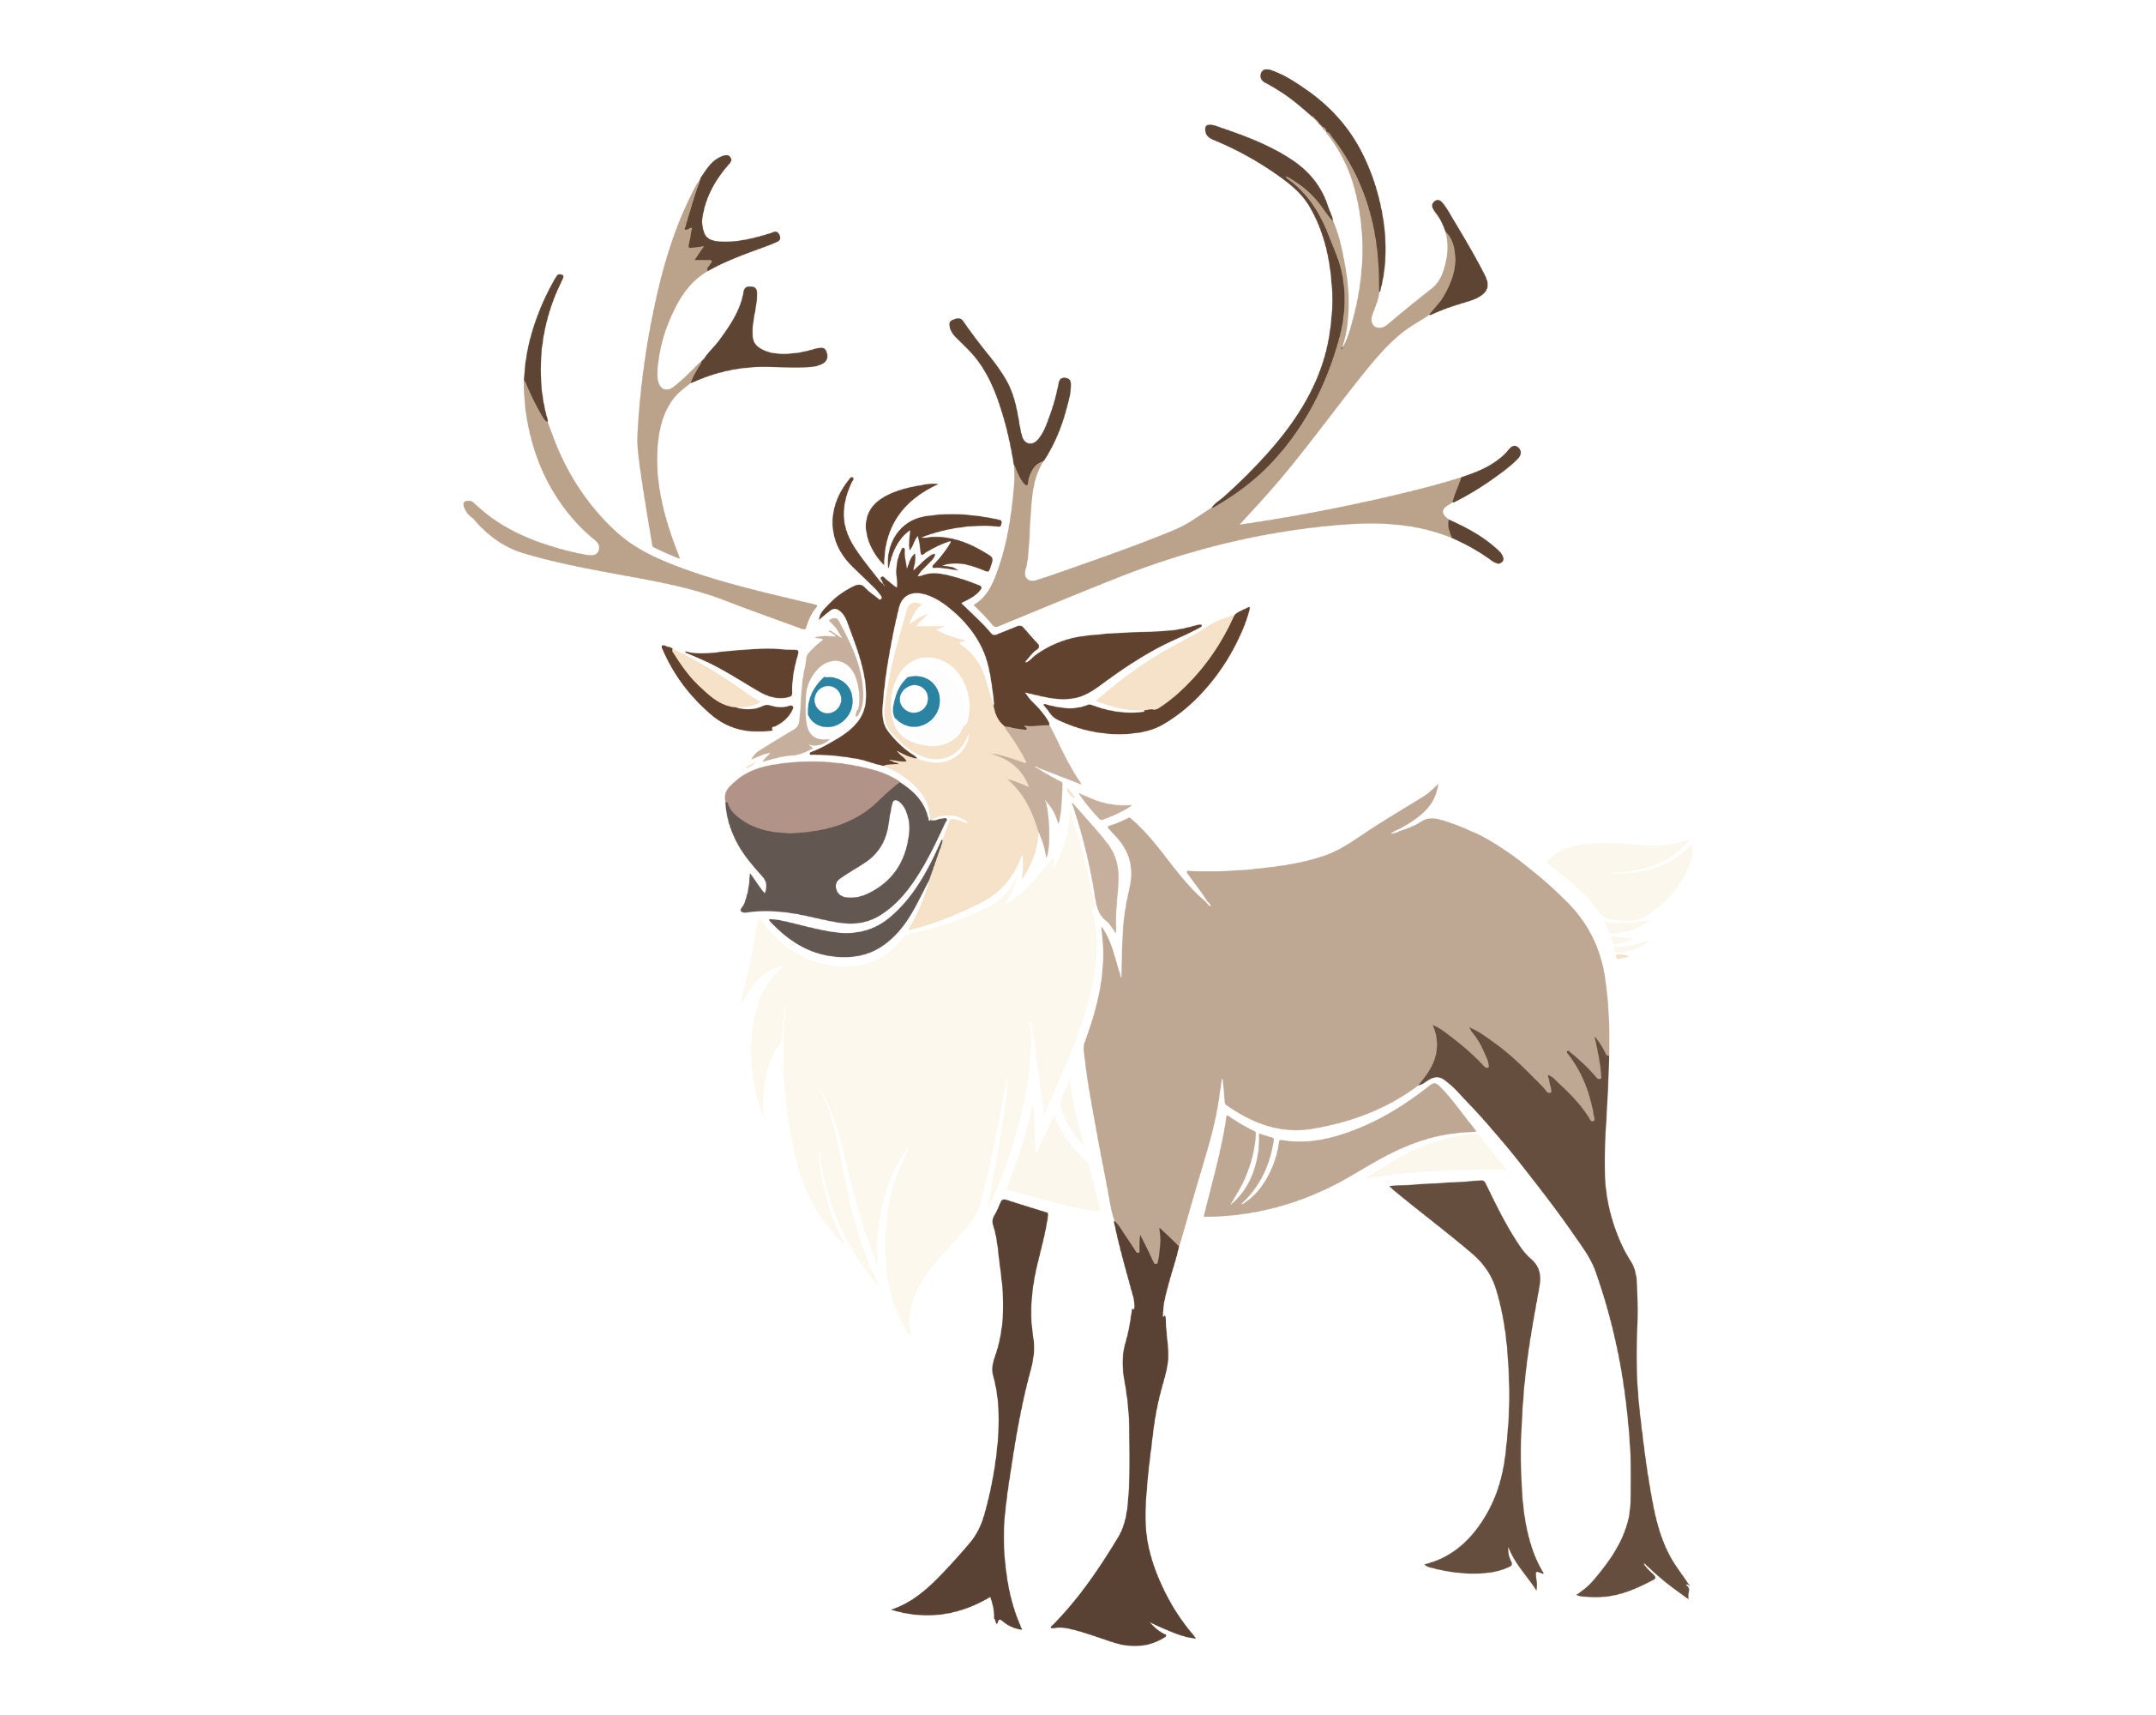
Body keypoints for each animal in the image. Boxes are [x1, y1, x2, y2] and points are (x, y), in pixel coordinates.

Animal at [466, 70, 1689, 1646]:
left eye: (936, 698)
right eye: (814, 695)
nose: (785, 829)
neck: (1014, 1028)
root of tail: (1575, 891)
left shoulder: (1157, 1165)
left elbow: (1142, 1348)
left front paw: (1122, 1599)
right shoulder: (1020, 1187)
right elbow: (1015, 1349)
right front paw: (969, 1582)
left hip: (1552, 1095)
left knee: (1615, 1267)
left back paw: (1630, 1558)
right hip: (1423, 1151)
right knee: (1515, 1270)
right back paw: (1491, 1545)